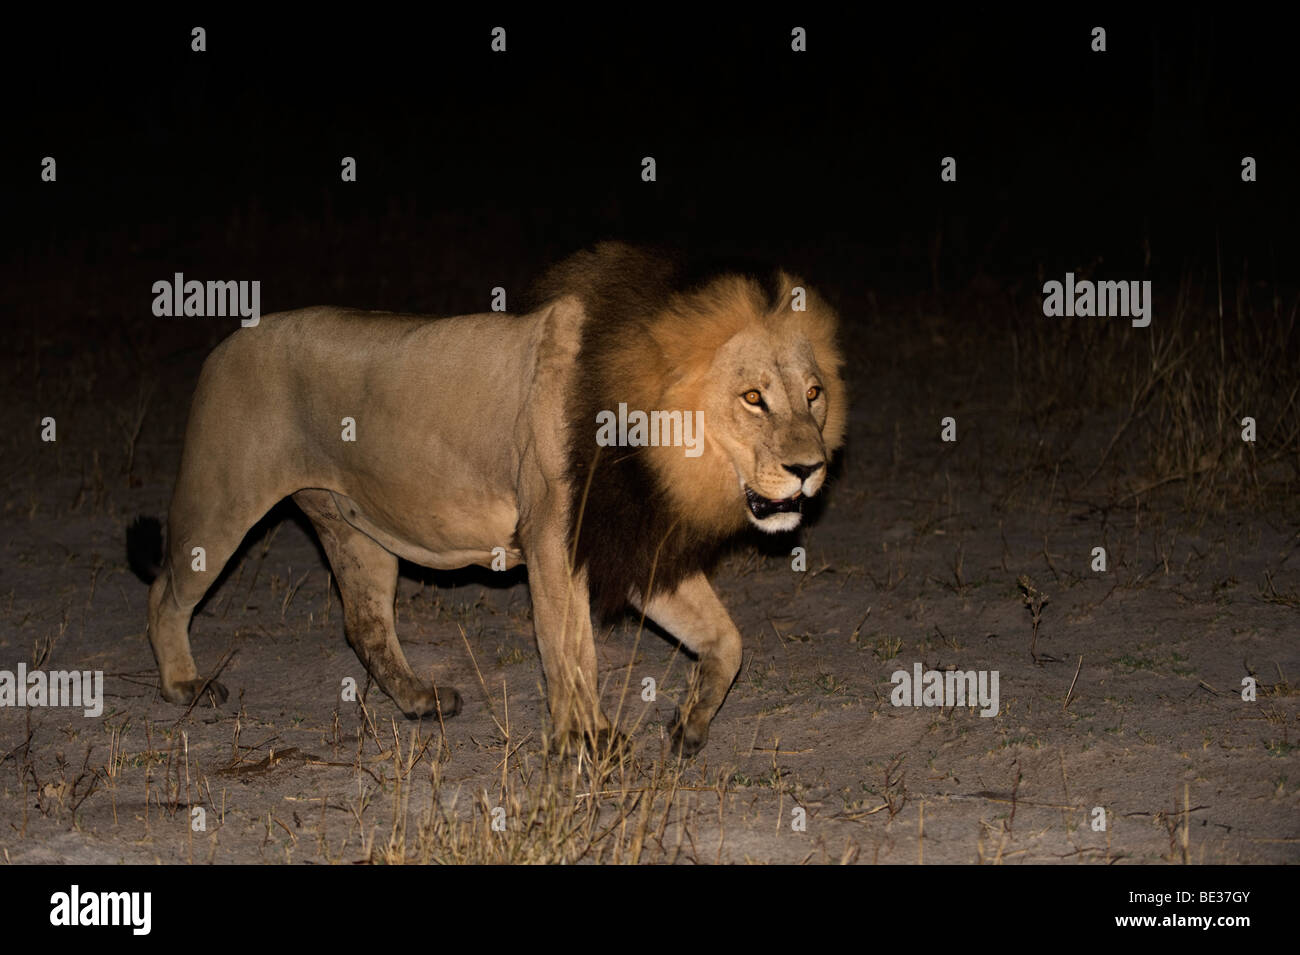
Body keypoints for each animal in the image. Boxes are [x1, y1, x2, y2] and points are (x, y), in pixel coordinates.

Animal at [127, 243, 845, 755]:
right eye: (752, 397)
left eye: (813, 394)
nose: (809, 469)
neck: (658, 451)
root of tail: (232, 338)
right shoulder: (555, 538)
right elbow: (571, 647)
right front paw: (589, 743)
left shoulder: (629, 541)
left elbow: (727, 639)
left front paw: (689, 724)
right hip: (221, 502)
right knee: (164, 592)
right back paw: (182, 684)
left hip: (356, 530)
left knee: (365, 622)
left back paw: (419, 700)